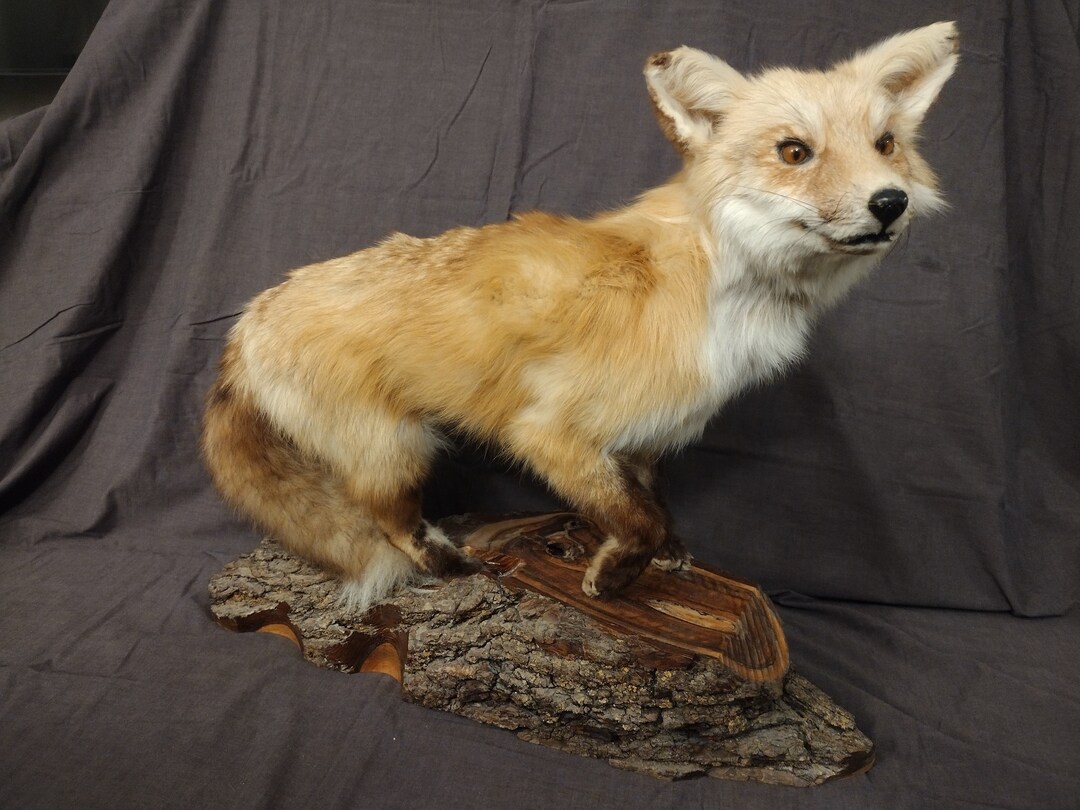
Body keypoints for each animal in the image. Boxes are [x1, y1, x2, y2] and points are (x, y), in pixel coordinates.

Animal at [202, 22, 959, 611]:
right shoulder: (550, 433)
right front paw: (617, 575)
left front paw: (670, 553)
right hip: (395, 449)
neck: (716, 289)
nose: (889, 202)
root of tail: (248, 318)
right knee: (385, 520)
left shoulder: (647, 435)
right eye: (794, 151)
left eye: (885, 144)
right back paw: (446, 563)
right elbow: (634, 518)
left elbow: (652, 501)